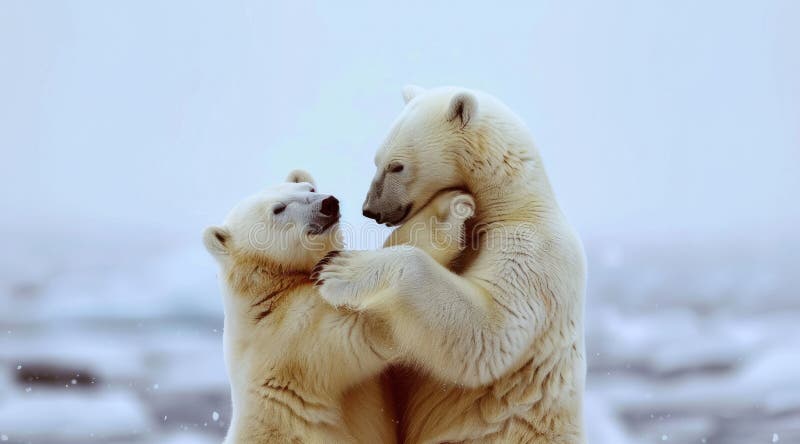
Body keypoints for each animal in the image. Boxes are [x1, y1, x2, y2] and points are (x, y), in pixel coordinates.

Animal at [203, 169, 476, 443]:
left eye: (310, 189)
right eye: (278, 209)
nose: (328, 203)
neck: (269, 291)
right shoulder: (290, 336)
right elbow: (363, 328)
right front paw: (452, 209)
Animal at [315, 86, 587, 443]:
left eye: (397, 166)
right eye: (376, 160)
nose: (370, 209)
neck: (509, 201)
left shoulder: (532, 251)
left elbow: (487, 336)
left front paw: (338, 270)